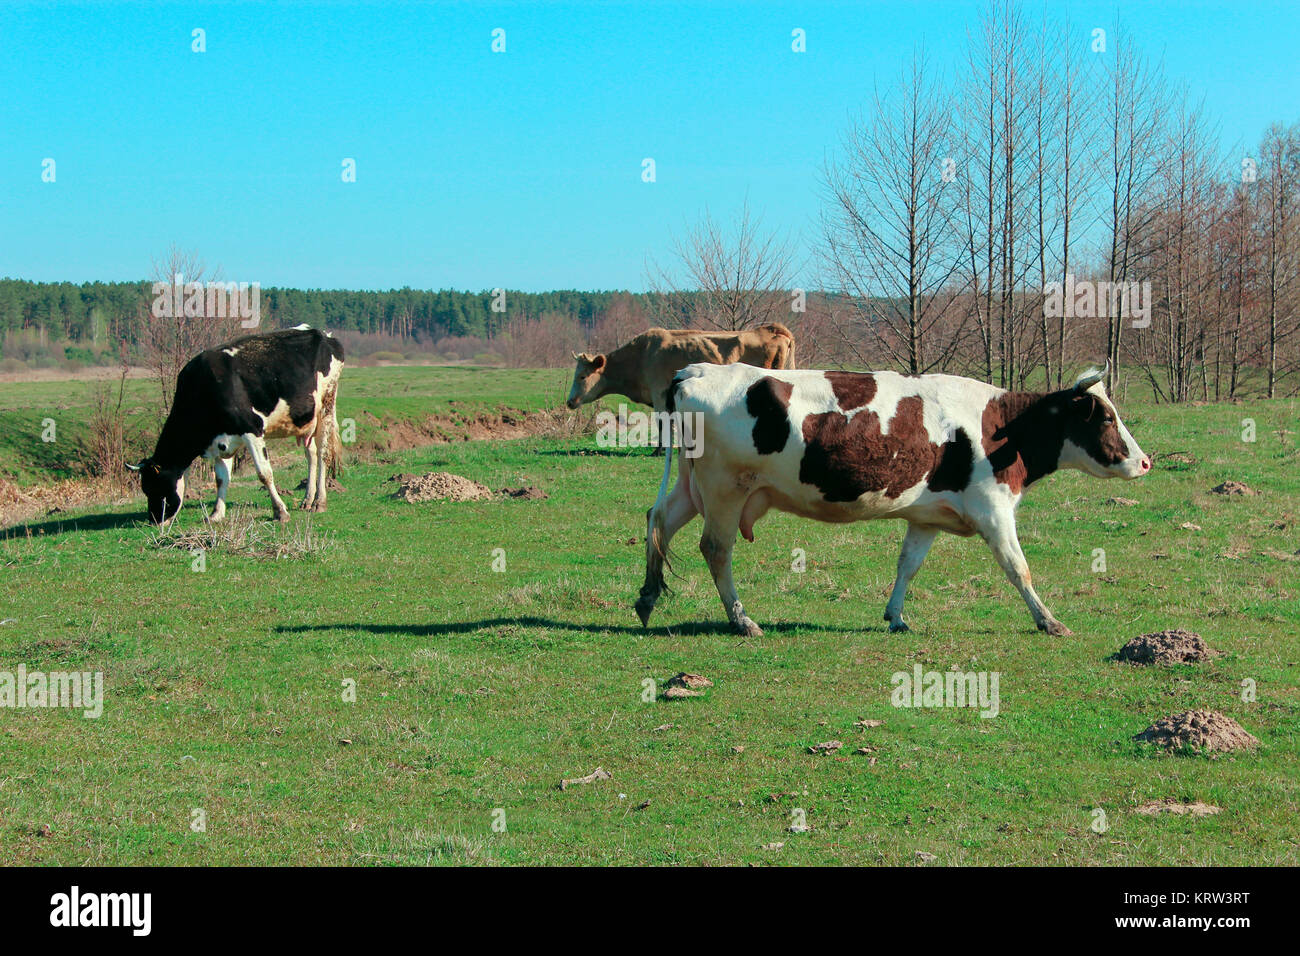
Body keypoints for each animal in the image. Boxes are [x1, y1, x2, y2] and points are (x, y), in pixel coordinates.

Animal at [128, 326, 344, 525]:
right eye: (144, 489)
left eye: (155, 486)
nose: (154, 521)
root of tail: (323, 334)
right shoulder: (220, 441)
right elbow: (221, 479)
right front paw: (216, 515)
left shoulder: (252, 430)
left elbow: (264, 473)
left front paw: (280, 512)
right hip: (306, 420)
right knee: (311, 454)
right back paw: (307, 500)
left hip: (327, 404)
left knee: (324, 453)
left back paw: (319, 502)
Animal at [636, 361, 1150, 638]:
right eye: (1105, 417)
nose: (1145, 462)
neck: (1001, 425)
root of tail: (695, 369)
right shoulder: (993, 507)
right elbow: (1017, 567)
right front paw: (1049, 621)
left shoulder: (927, 516)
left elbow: (908, 565)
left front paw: (896, 616)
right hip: (726, 489)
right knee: (715, 549)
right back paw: (743, 621)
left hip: (693, 488)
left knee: (659, 520)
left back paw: (646, 599)